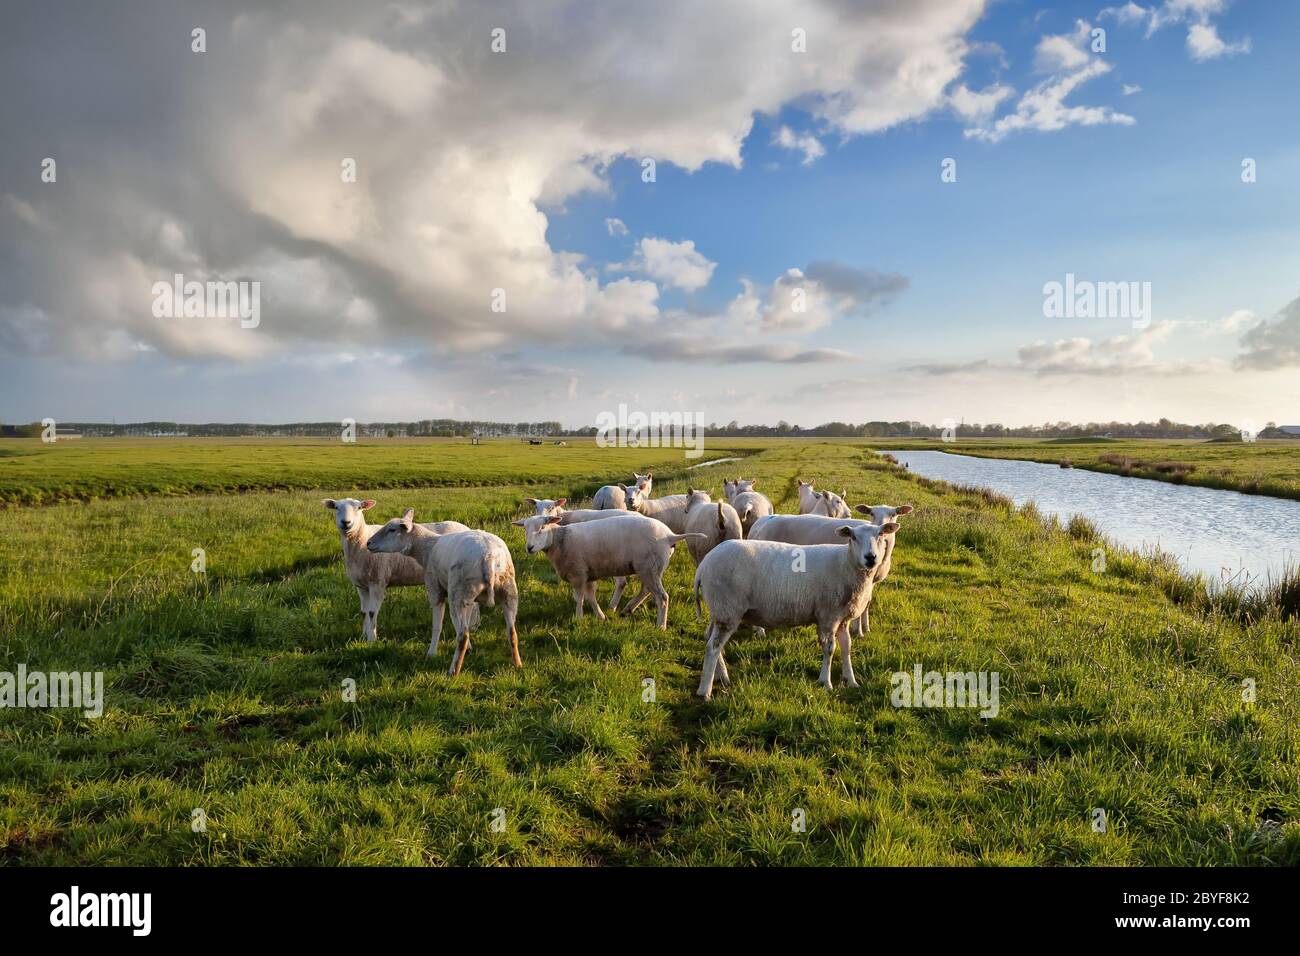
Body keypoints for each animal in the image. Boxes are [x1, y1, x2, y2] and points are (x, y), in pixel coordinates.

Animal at [323, 498, 473, 642]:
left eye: (359, 508)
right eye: (336, 507)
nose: (346, 522)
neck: (360, 542)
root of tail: (466, 527)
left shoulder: (377, 582)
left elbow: (371, 612)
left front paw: (372, 640)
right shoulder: (361, 586)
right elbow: (364, 612)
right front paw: (364, 636)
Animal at [365, 509, 520, 675]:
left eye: (392, 530)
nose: (368, 543)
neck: (426, 548)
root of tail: (489, 558)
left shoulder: (435, 588)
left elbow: (438, 626)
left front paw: (431, 653)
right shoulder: (470, 600)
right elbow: (463, 623)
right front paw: (470, 649)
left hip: (459, 593)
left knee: (463, 636)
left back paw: (453, 671)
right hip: (507, 591)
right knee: (511, 632)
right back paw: (518, 664)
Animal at [513, 512, 702, 629]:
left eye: (542, 528)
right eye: (525, 530)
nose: (529, 548)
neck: (560, 541)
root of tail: (670, 536)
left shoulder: (578, 573)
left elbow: (579, 598)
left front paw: (578, 619)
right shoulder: (588, 574)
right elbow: (591, 597)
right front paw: (601, 616)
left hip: (649, 567)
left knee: (662, 597)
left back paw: (660, 626)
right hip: (652, 567)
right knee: (647, 590)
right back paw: (628, 609)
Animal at [693, 522, 898, 699]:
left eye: (881, 535)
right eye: (853, 537)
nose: (871, 557)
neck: (847, 565)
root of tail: (704, 564)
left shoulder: (843, 617)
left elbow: (847, 647)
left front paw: (851, 681)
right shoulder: (828, 616)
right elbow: (830, 649)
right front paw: (826, 682)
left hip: (719, 609)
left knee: (710, 639)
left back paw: (722, 677)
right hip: (727, 609)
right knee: (713, 646)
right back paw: (705, 691)